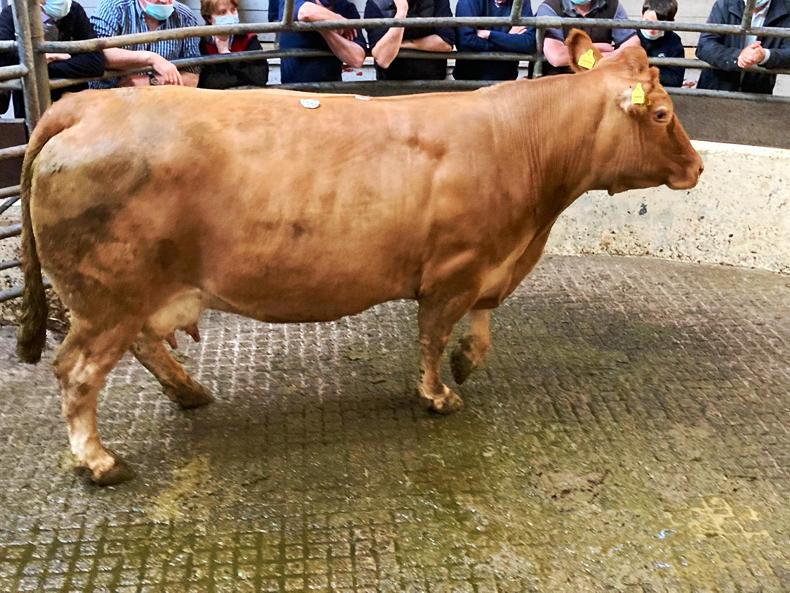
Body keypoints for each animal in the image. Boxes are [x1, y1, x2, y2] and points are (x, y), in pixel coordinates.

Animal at [16, 31, 703, 485]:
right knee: (77, 371)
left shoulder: (492, 263)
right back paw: (100, 461)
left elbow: (479, 327)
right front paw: (438, 395)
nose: (697, 167)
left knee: (139, 346)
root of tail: (86, 104)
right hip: (108, 295)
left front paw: (468, 361)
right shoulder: (453, 269)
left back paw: (190, 392)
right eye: (662, 114)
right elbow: (432, 335)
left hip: (124, 295)